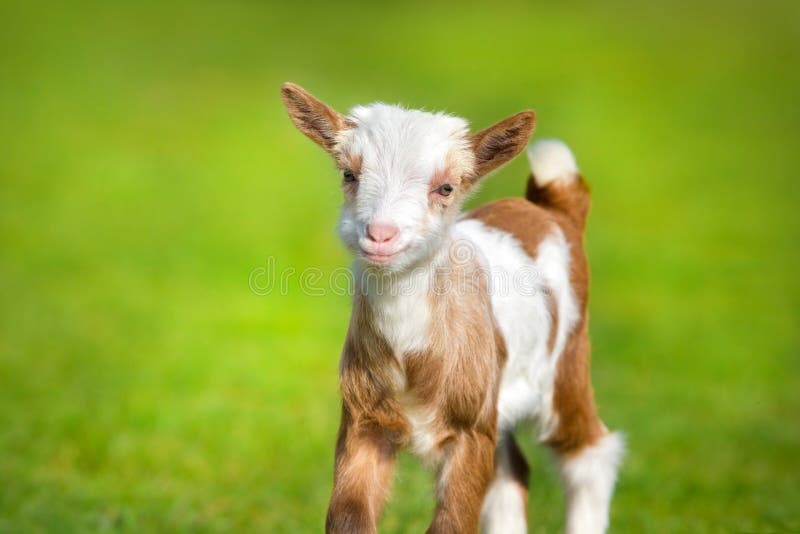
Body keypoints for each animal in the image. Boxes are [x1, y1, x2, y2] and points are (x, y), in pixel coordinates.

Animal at [280, 83, 624, 534]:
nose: (381, 234)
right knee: (509, 476)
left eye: (446, 188)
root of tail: (552, 207)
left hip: (566, 360)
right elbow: (348, 518)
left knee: (589, 454)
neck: (411, 354)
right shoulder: (363, 417)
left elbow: (454, 522)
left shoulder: (470, 427)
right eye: (348, 174)